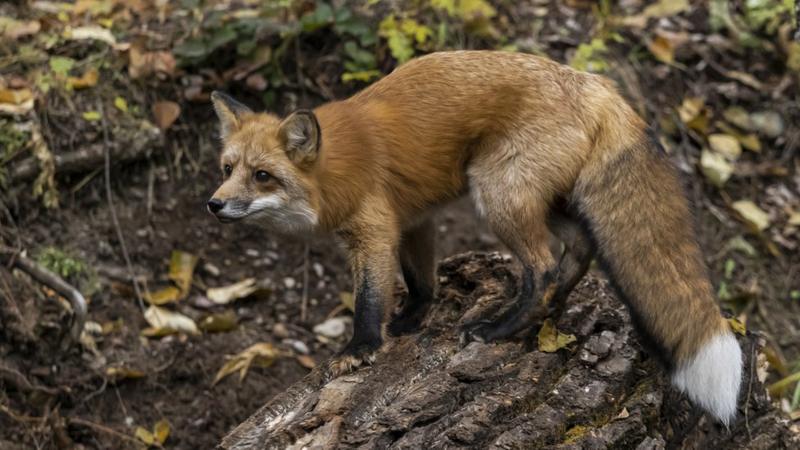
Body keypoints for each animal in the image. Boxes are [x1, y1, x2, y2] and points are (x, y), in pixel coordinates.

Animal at [206, 50, 742, 426]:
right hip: (544, 200)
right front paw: (412, 321)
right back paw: (550, 310)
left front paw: (360, 349)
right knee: (580, 248)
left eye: (262, 176)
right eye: (228, 170)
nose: (213, 204)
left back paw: (500, 329)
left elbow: (369, 298)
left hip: (497, 194)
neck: (336, 169)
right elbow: (420, 281)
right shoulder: (413, 220)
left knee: (543, 268)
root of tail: (596, 84)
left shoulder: (373, 232)